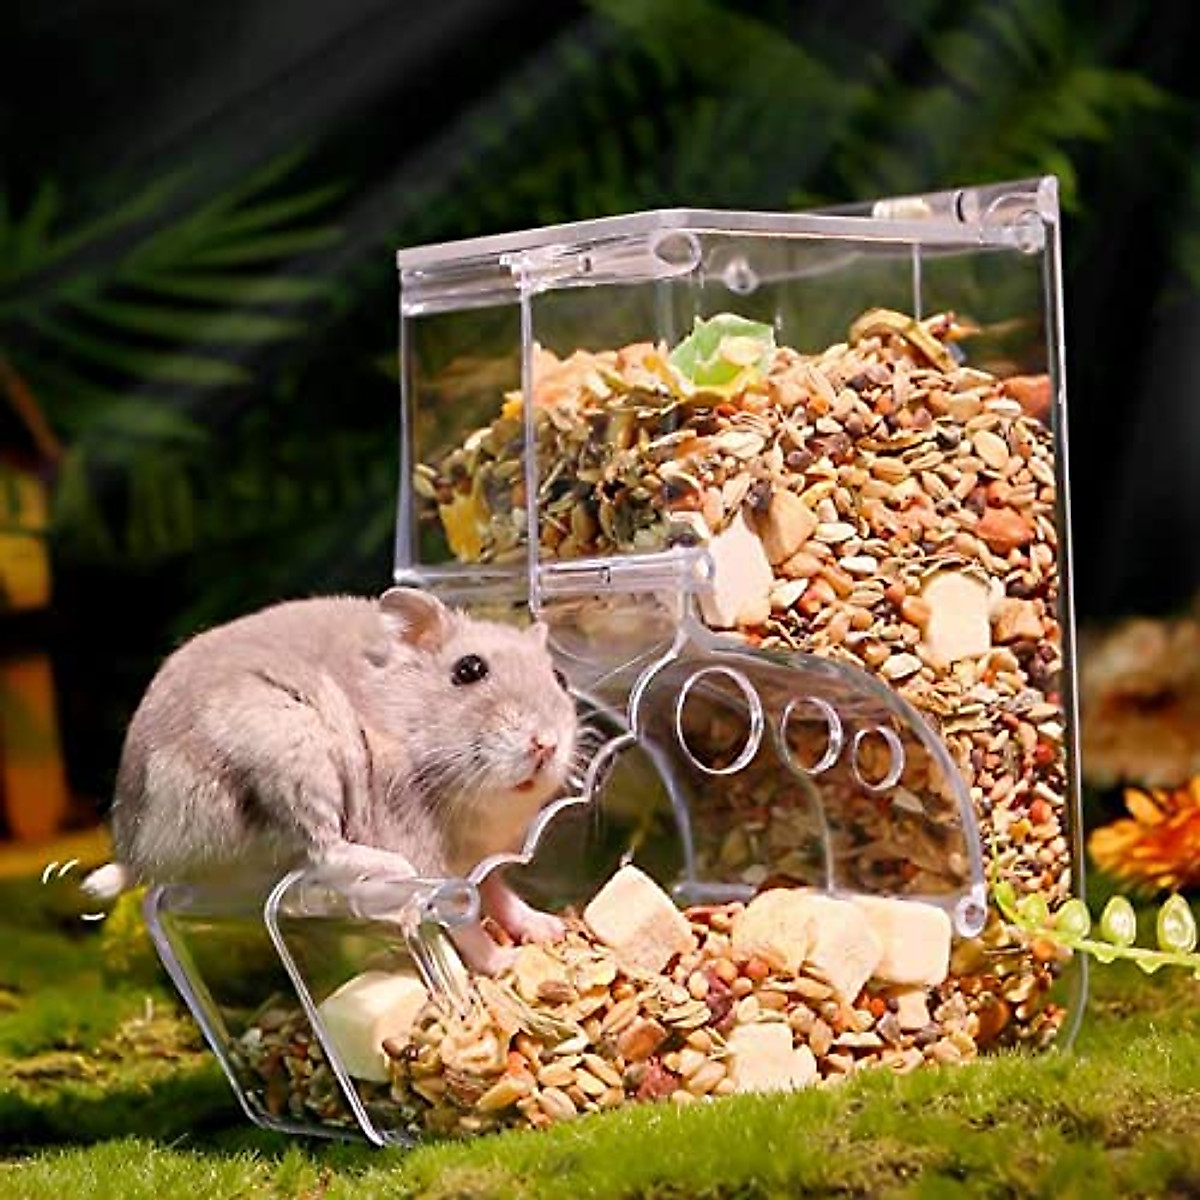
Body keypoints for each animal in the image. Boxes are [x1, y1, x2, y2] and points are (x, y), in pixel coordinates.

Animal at [82, 587, 579, 973]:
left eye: (560, 677)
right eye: (469, 669)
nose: (546, 745)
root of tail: (136, 851)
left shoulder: (481, 860)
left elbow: (499, 892)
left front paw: (550, 928)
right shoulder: (432, 862)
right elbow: (465, 921)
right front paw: (504, 963)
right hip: (297, 757)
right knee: (325, 849)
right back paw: (391, 870)